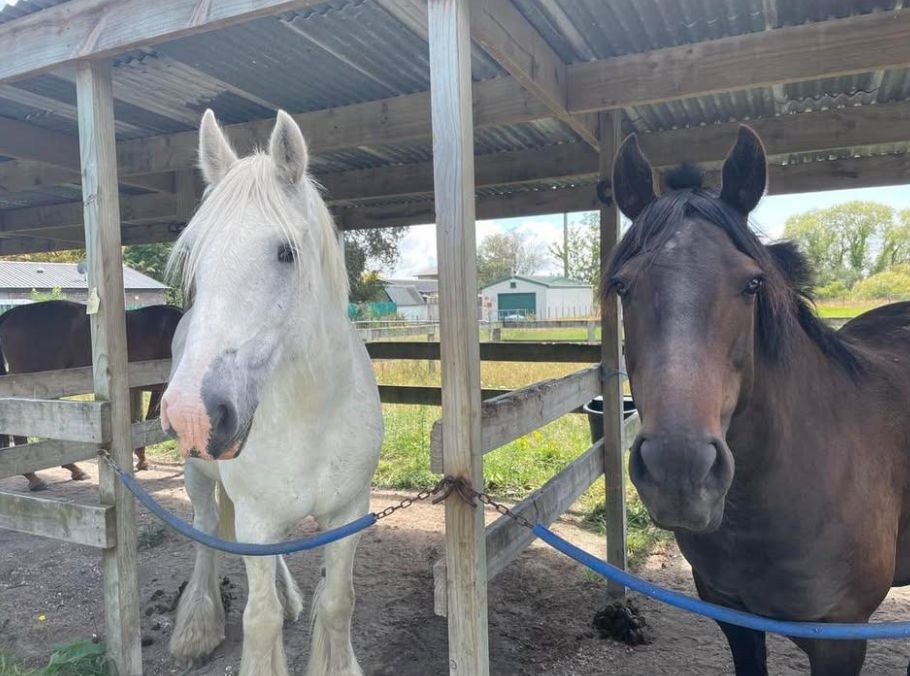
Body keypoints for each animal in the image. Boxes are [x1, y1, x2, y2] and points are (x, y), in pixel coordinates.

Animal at [160, 109, 382, 676]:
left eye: (286, 252)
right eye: (196, 256)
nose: (194, 415)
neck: (313, 417)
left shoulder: (349, 514)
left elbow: (339, 602)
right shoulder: (257, 518)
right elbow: (258, 622)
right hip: (198, 477)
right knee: (208, 528)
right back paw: (197, 625)